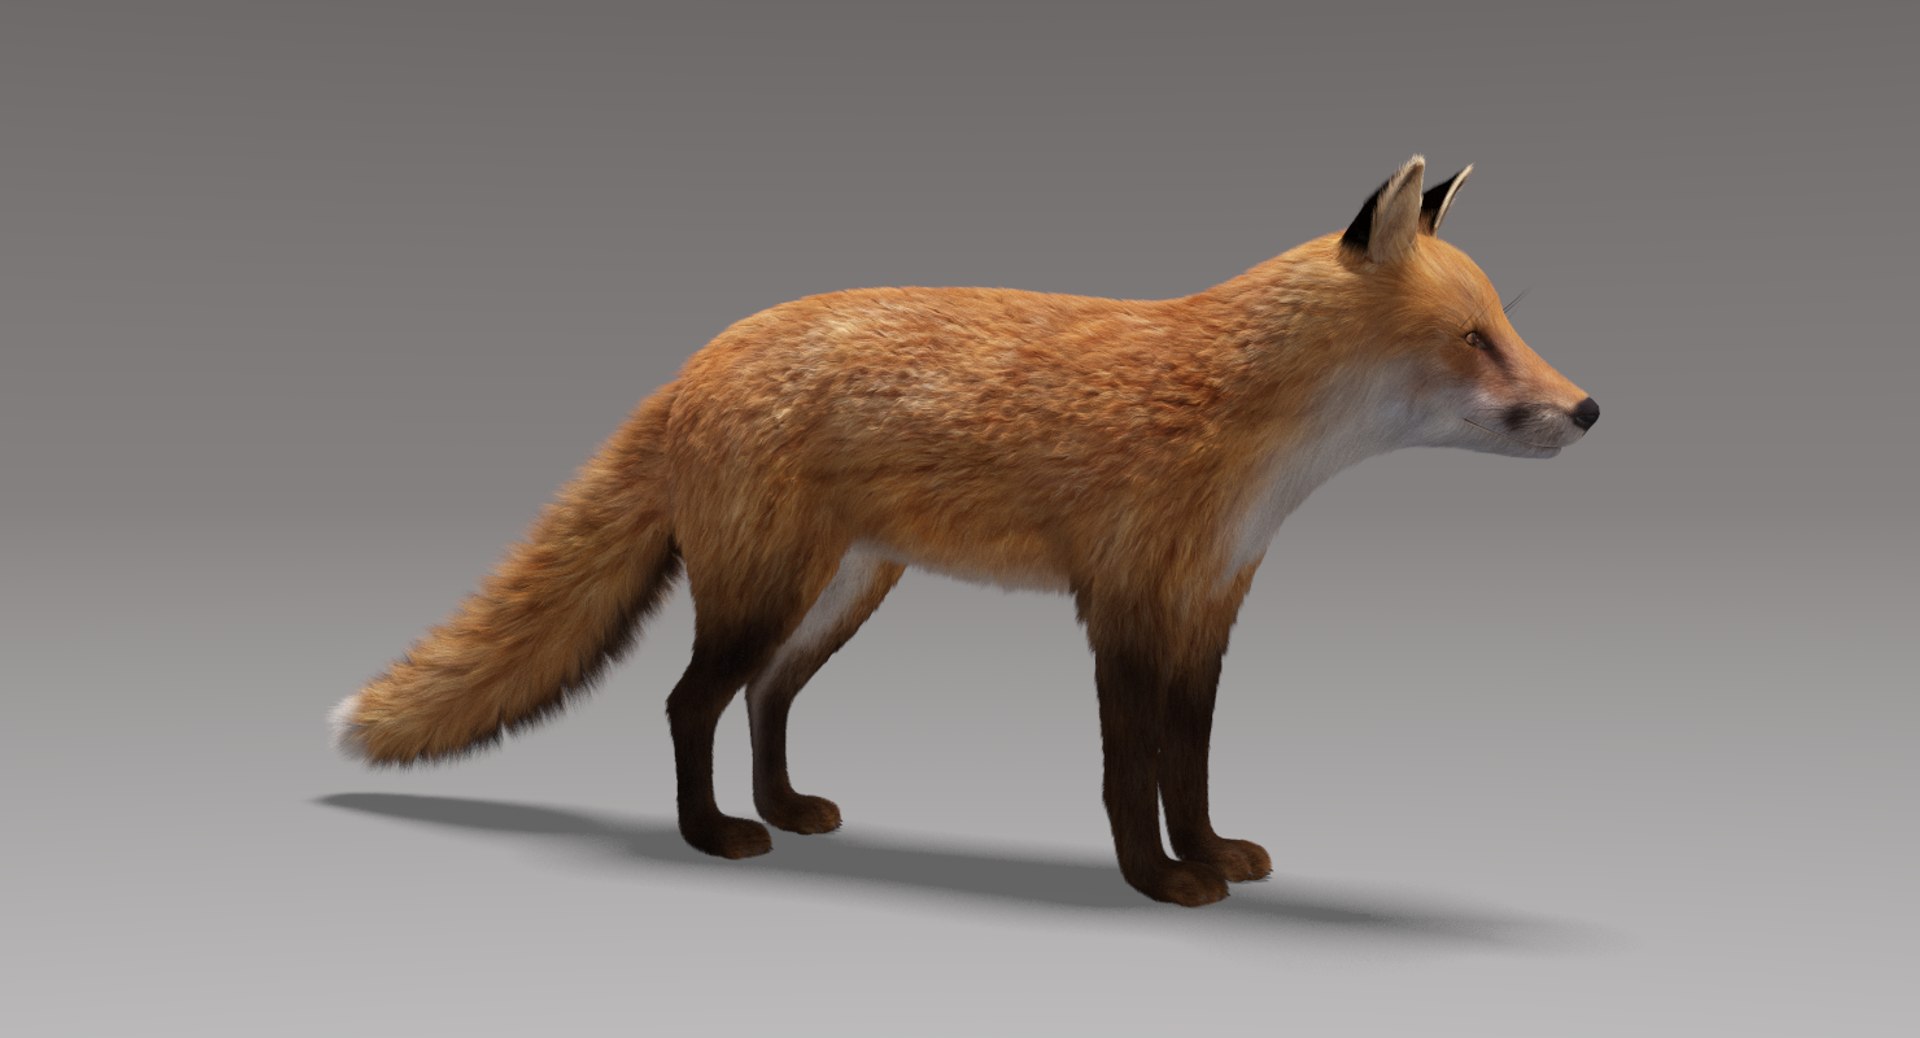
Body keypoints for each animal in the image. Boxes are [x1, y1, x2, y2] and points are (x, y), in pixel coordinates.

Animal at [330, 155, 1597, 907]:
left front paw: (1210, 856)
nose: (1587, 410)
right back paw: (714, 835)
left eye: (1505, 328)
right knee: (691, 702)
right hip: (766, 592)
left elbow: (1189, 768)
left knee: (764, 699)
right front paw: (1156, 879)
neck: (1243, 431)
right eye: (1474, 340)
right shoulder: (1127, 609)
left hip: (841, 595)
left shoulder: (1205, 610)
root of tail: (698, 360)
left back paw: (784, 809)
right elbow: (1131, 774)